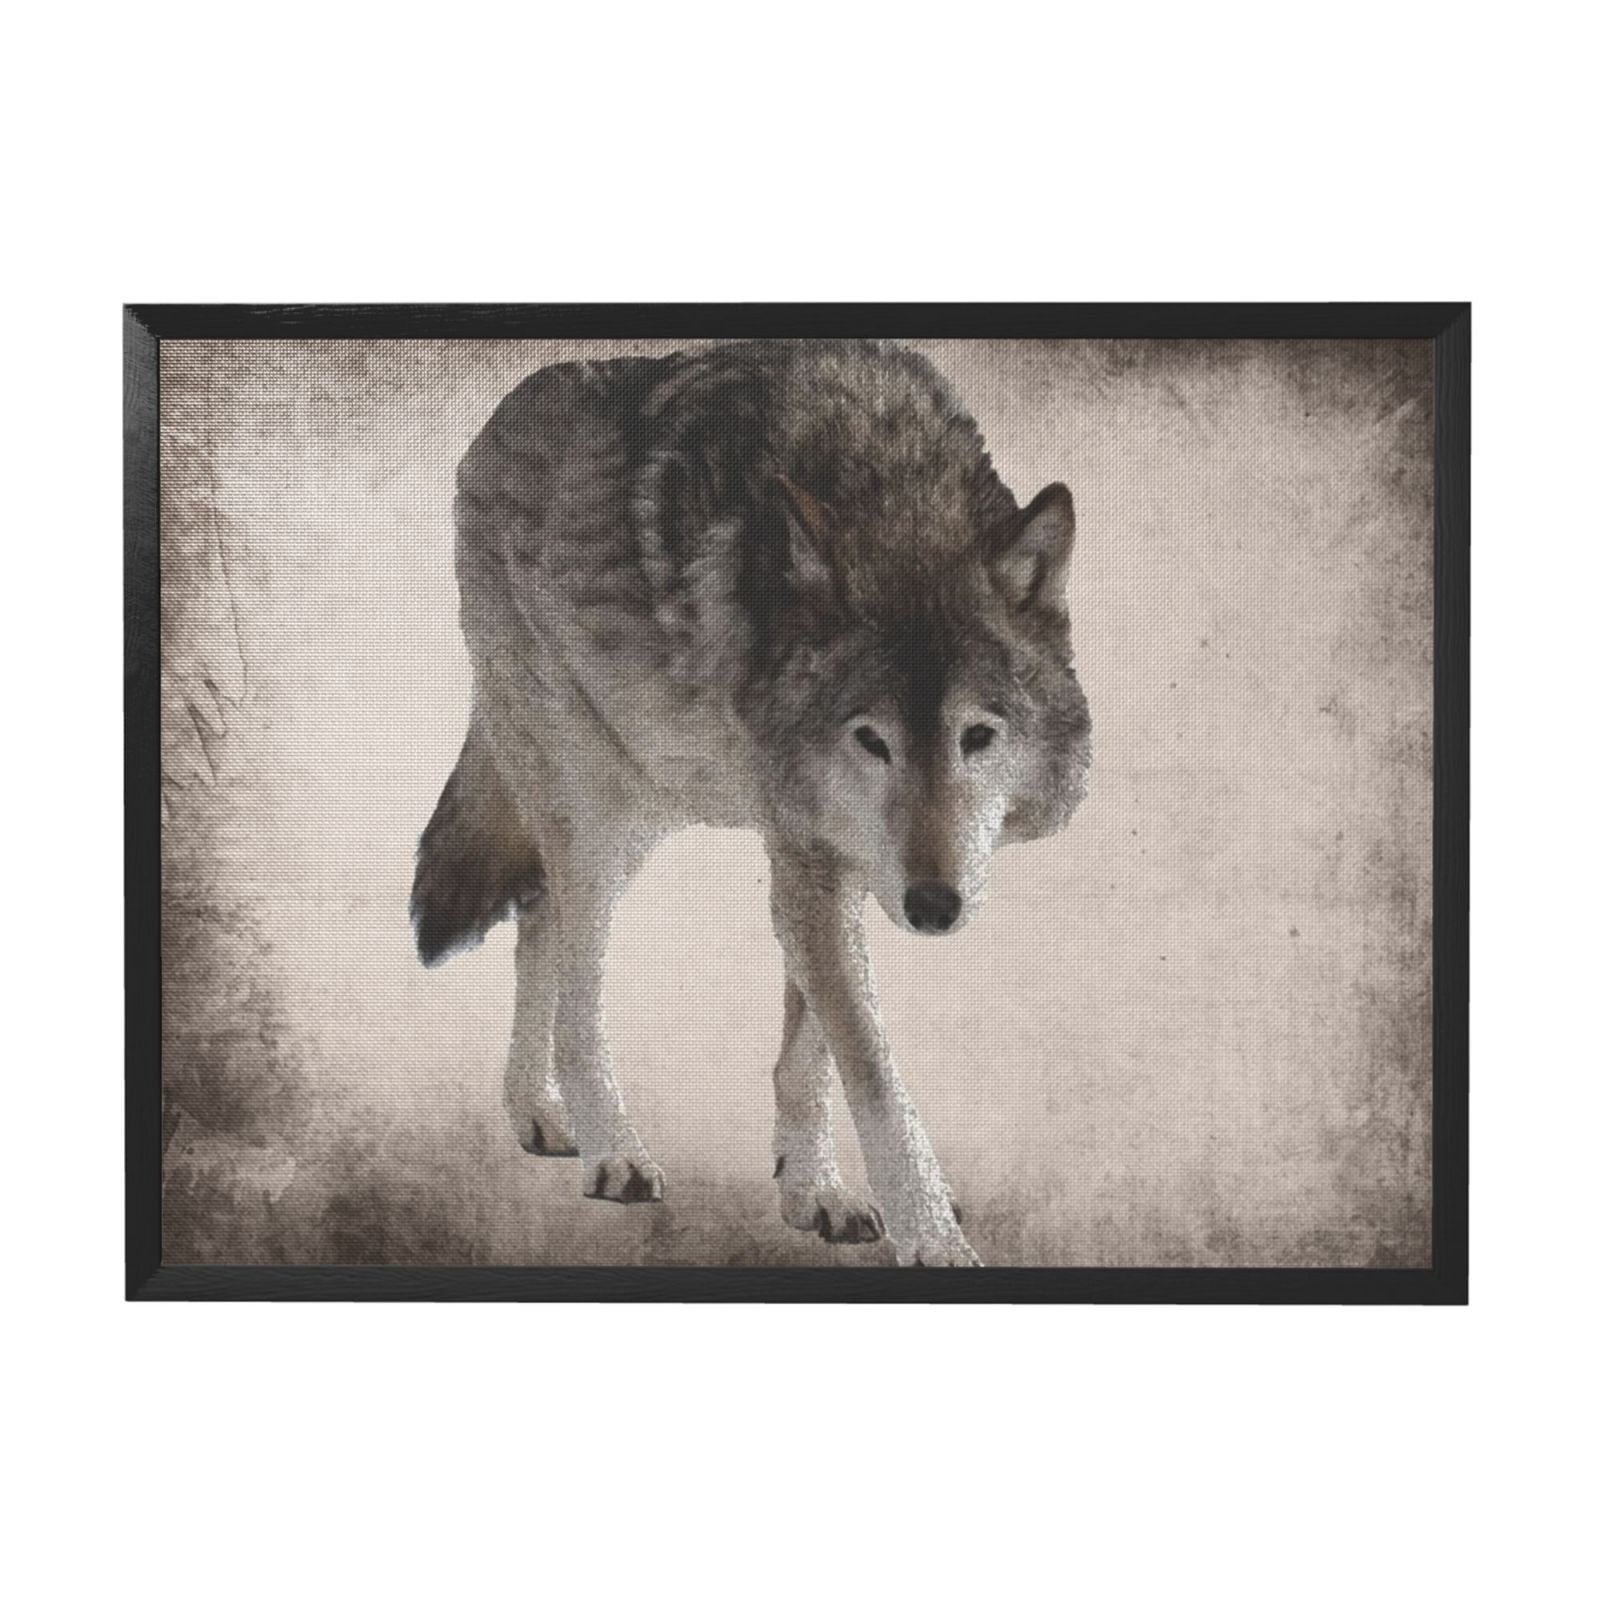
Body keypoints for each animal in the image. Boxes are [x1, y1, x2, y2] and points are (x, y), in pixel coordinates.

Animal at [411, 340, 1091, 1265]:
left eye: (977, 737)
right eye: (872, 740)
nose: (933, 906)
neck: (892, 486)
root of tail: (497, 419)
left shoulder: (827, 854)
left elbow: (811, 1053)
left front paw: (814, 1190)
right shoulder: (810, 853)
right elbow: (870, 1067)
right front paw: (930, 1234)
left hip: (640, 799)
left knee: (538, 914)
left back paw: (537, 1113)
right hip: (595, 808)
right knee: (576, 983)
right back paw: (612, 1148)